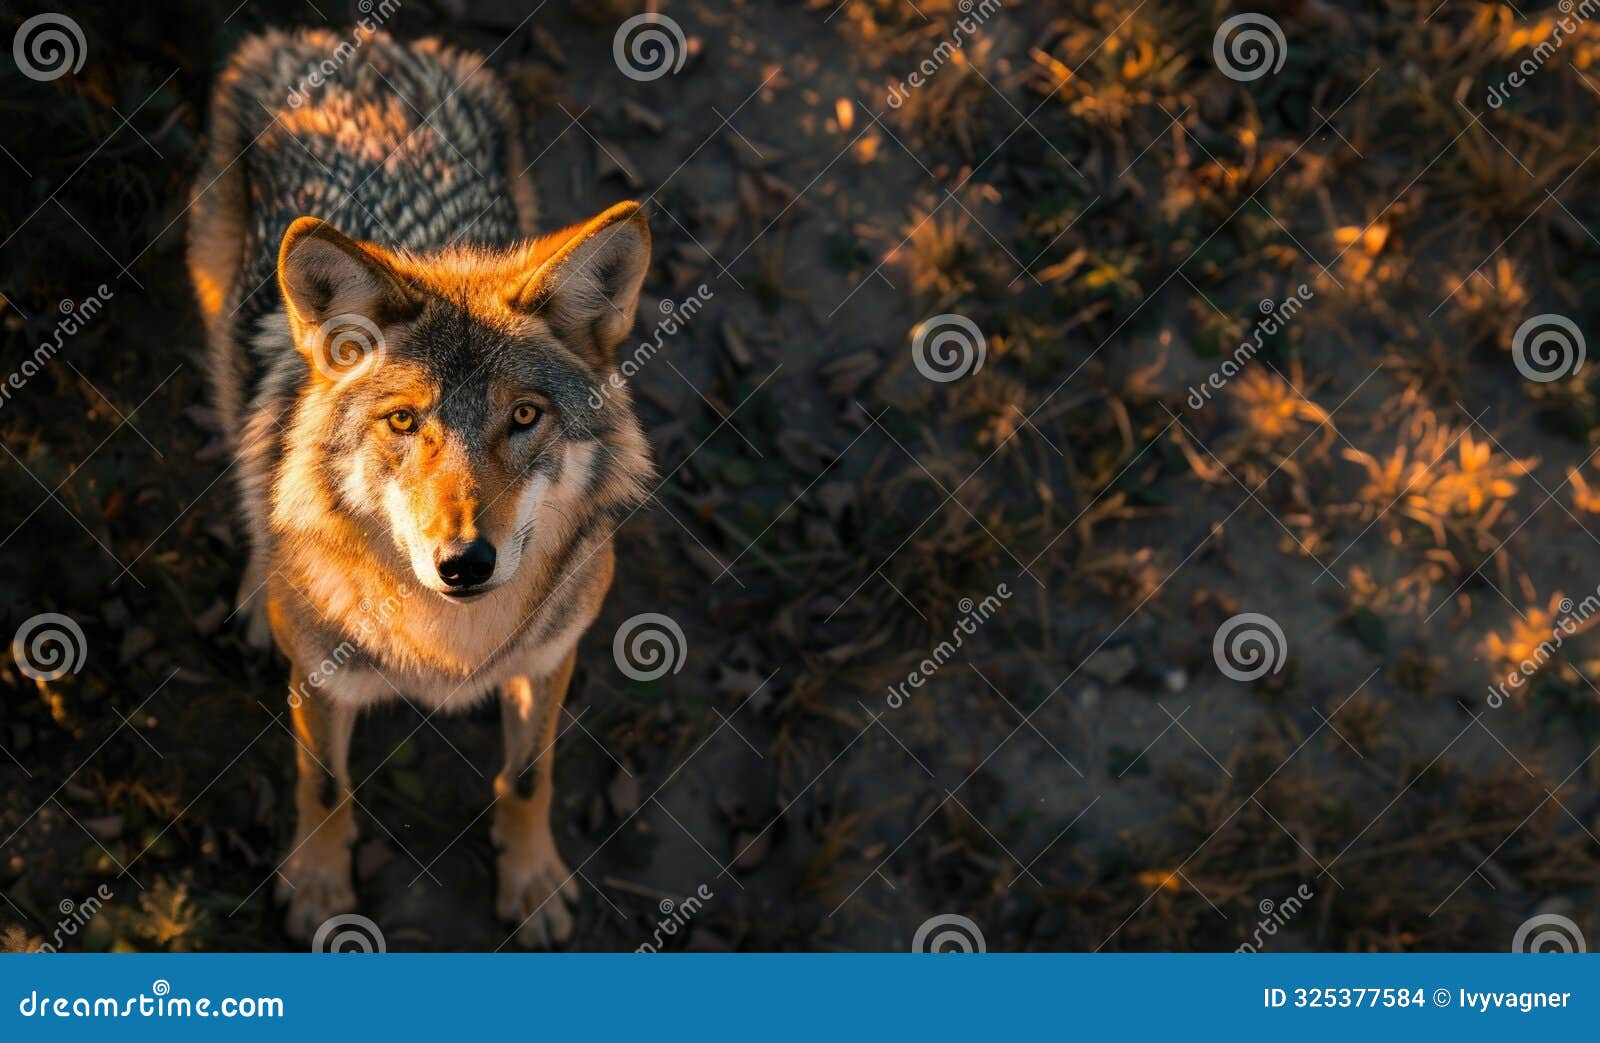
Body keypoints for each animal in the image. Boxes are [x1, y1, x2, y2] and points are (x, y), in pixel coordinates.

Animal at [187, 27, 654, 947]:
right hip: (221, 316)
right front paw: (320, 890)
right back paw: (262, 585)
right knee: (256, 456)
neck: (452, 649)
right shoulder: (321, 681)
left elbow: (529, 776)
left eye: (524, 415)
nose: (464, 563)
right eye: (405, 421)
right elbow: (325, 785)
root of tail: (352, 46)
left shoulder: (553, 655)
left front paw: (533, 883)